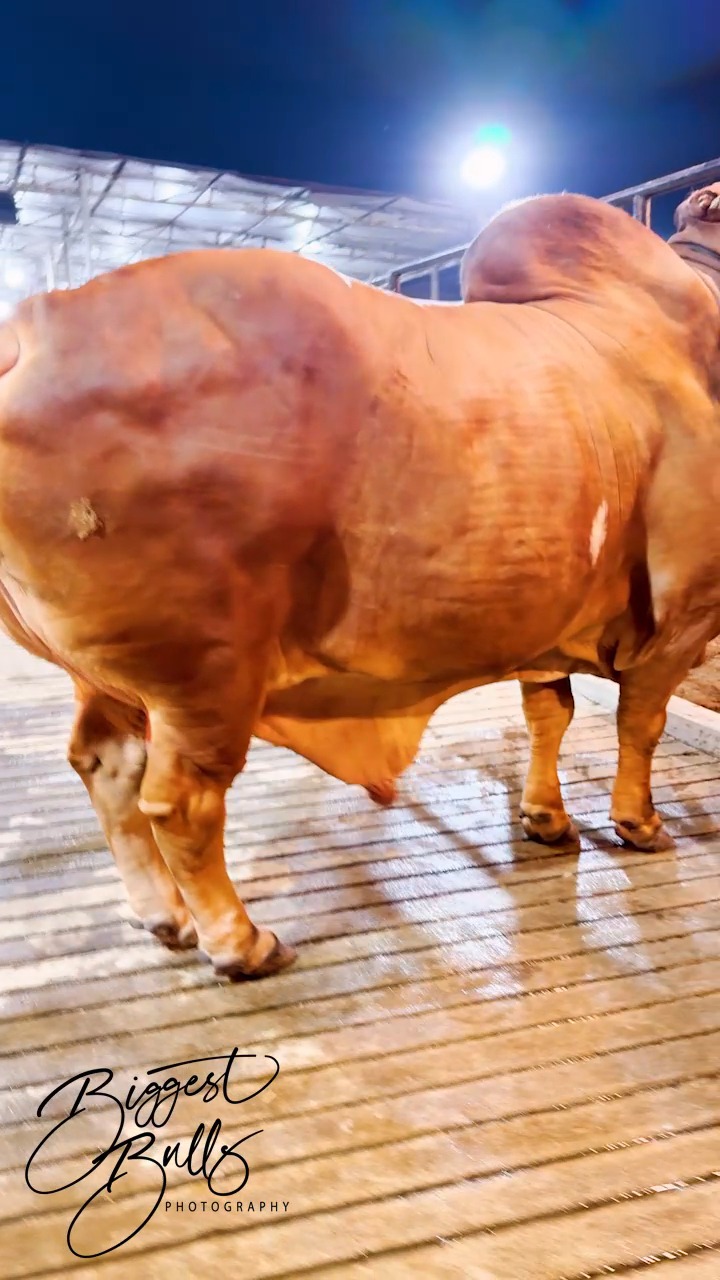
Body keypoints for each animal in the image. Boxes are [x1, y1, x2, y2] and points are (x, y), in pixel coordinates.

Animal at [0, 190, 718, 981]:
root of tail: (28, 332)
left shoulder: (548, 619)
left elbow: (549, 713)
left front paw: (547, 818)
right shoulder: (686, 611)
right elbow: (639, 722)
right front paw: (640, 823)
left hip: (110, 677)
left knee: (105, 765)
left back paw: (165, 915)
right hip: (204, 670)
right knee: (181, 801)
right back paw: (240, 941)